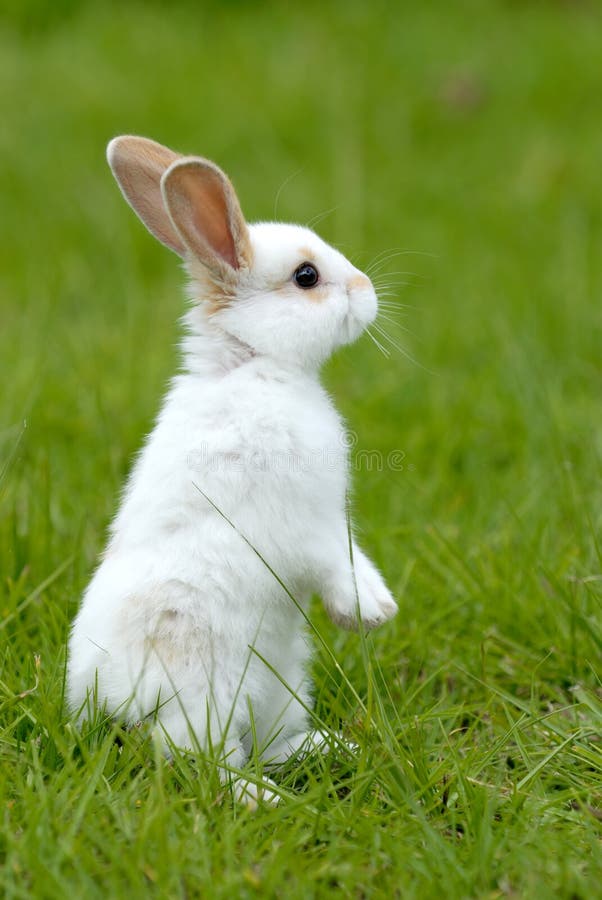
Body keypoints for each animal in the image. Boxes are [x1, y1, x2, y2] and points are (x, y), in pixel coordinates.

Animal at [67, 135, 397, 804]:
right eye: (306, 277)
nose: (367, 288)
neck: (254, 365)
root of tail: (109, 703)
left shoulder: (326, 518)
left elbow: (351, 552)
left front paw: (376, 610)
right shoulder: (306, 525)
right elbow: (338, 560)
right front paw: (368, 613)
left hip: (283, 680)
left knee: (266, 742)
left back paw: (330, 748)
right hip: (207, 689)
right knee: (197, 758)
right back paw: (263, 799)